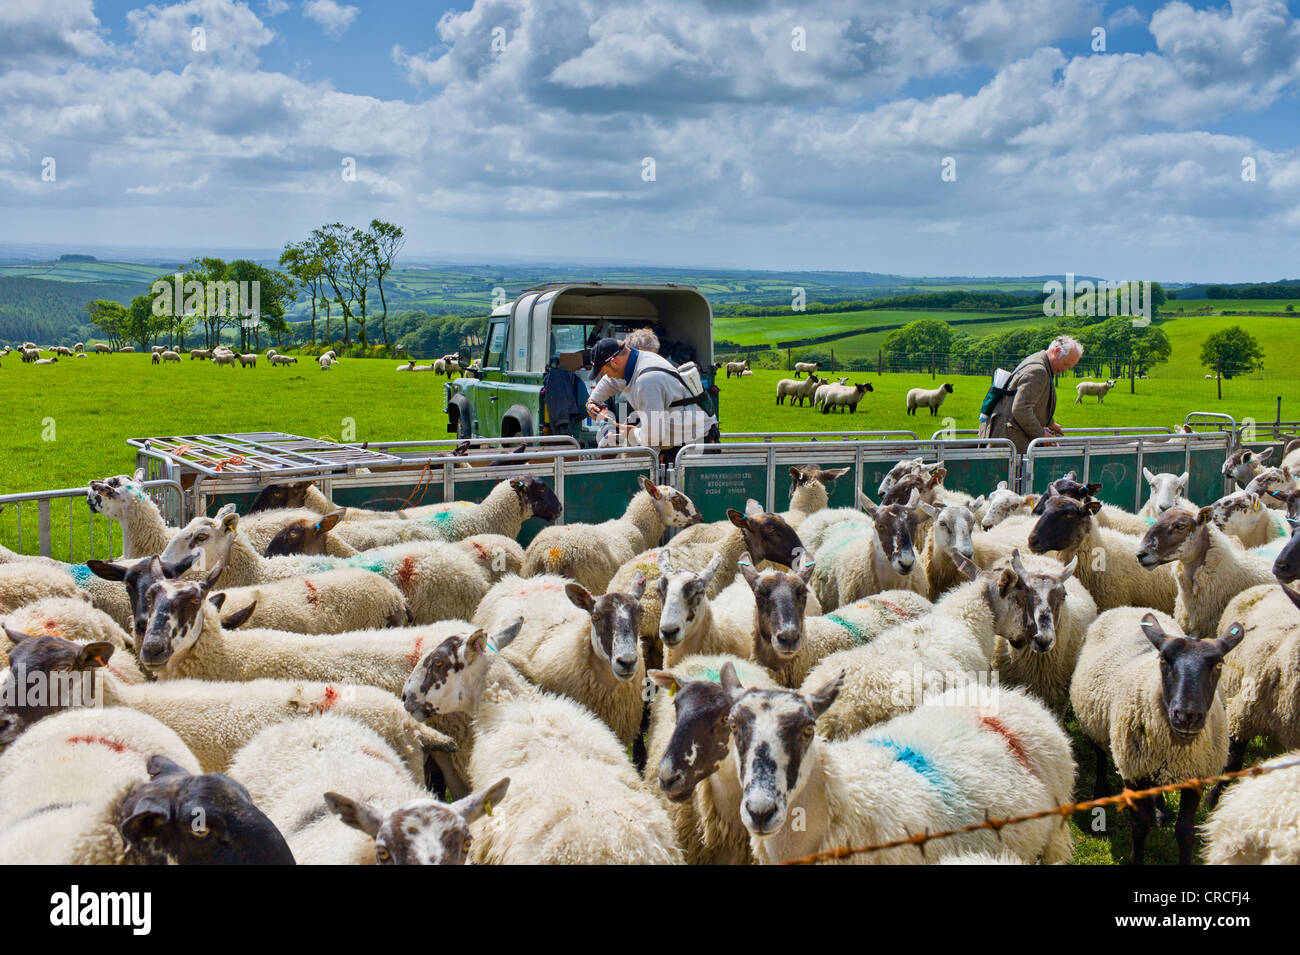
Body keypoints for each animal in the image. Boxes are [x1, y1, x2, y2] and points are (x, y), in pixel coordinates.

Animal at [1071, 608, 1243, 864]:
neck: (1177, 747)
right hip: (1094, 719)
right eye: (1163, 660)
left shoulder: (1196, 775)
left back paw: (1160, 812)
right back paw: (1101, 791)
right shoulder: (1132, 771)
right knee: (1100, 754)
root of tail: (1128, 607)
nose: (1187, 715)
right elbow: (1139, 826)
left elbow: (1185, 831)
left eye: (1218, 665)